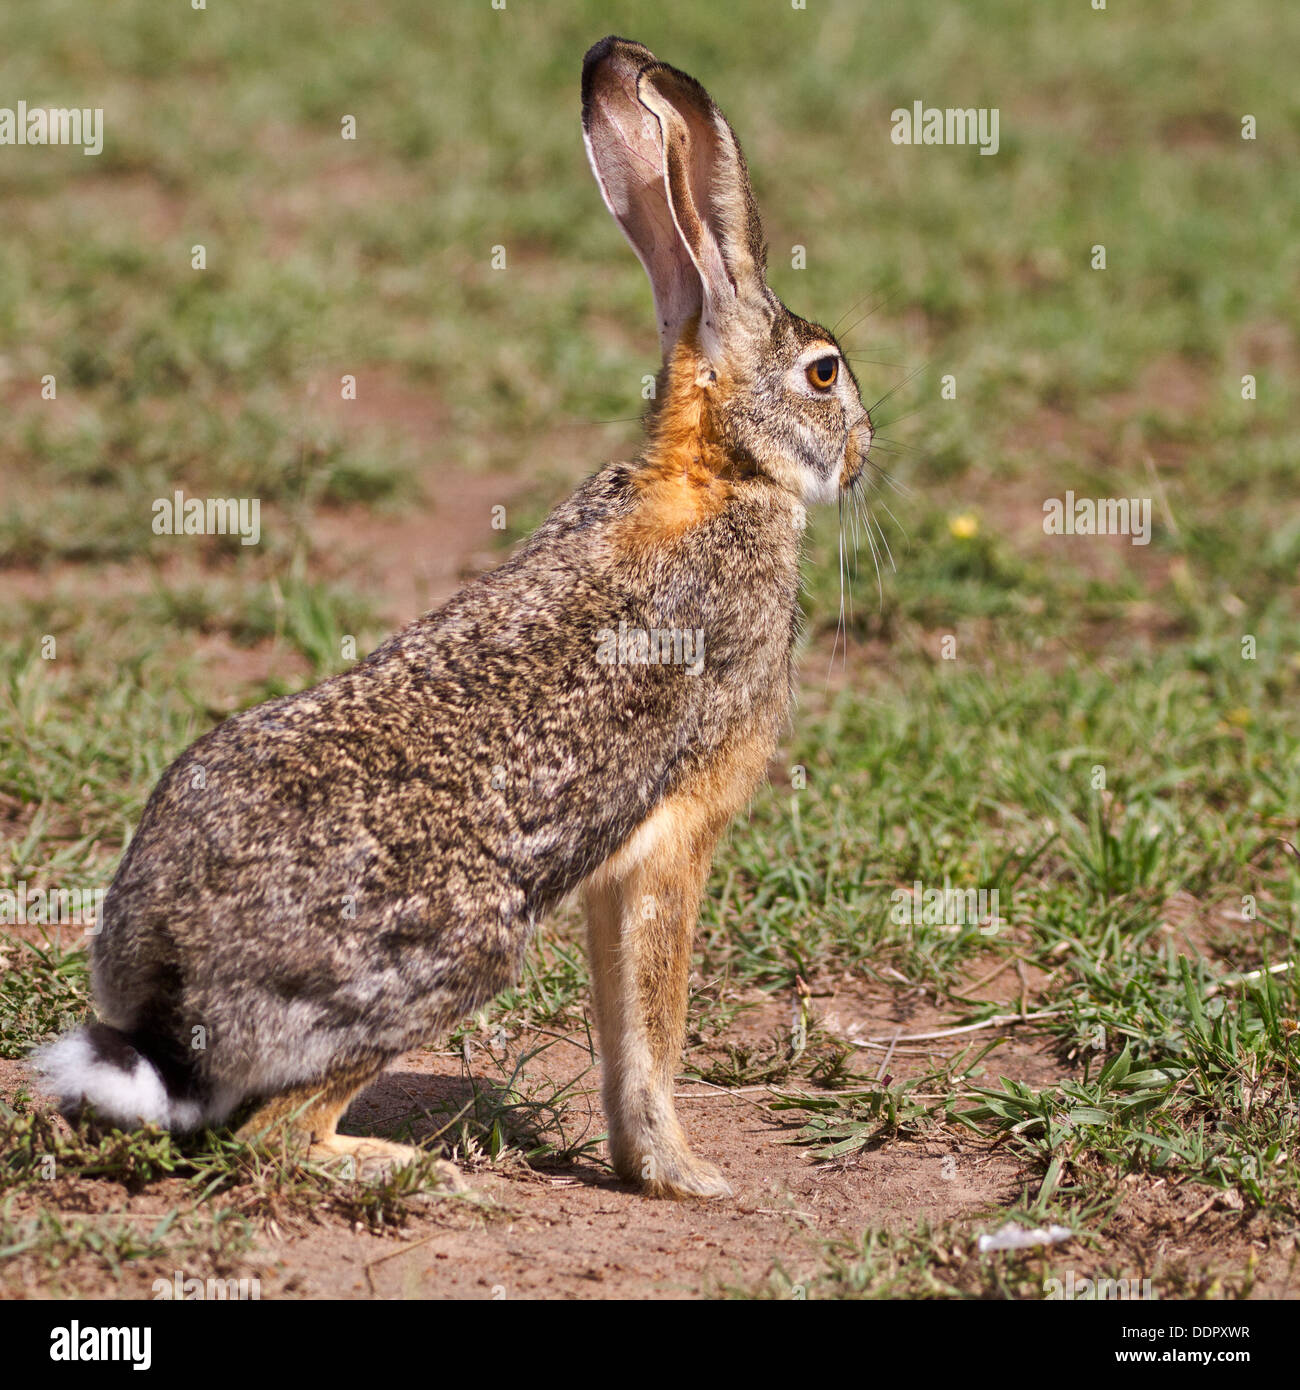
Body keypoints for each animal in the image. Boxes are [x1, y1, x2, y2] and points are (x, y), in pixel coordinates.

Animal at [33, 35, 873, 1199]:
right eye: (823, 373)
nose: (865, 448)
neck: (719, 473)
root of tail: (172, 1005)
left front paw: (643, 1165)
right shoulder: (679, 830)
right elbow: (654, 1025)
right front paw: (687, 1176)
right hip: (459, 954)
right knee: (273, 1137)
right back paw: (411, 1171)